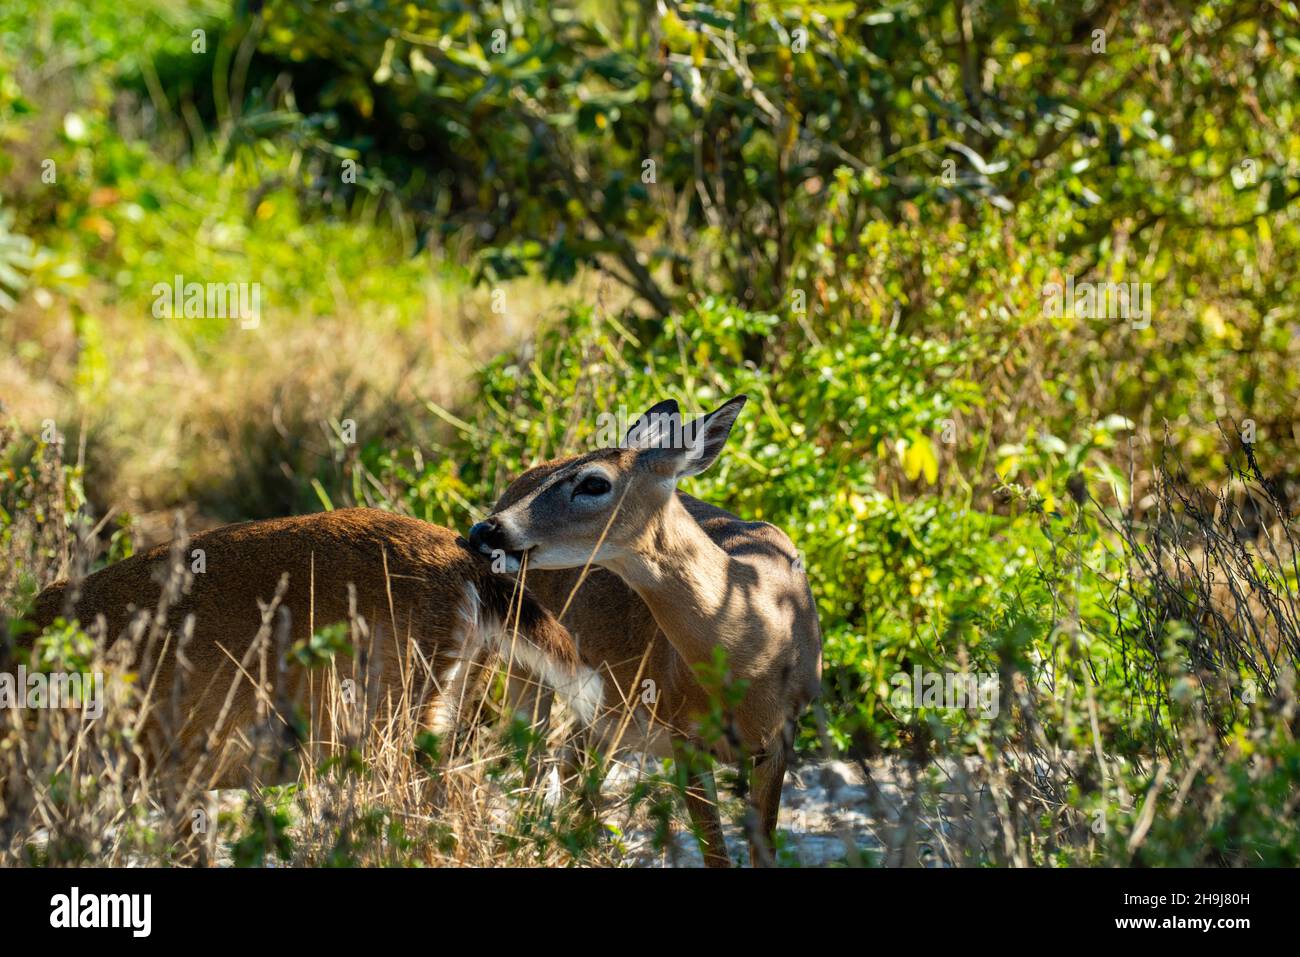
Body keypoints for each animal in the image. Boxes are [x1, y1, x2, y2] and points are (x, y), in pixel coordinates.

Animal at [467, 395, 822, 866]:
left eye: (594, 483)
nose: (486, 529)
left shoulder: (779, 739)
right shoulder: (685, 735)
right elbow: (716, 855)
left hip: (607, 704)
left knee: (573, 764)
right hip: (526, 657)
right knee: (535, 759)